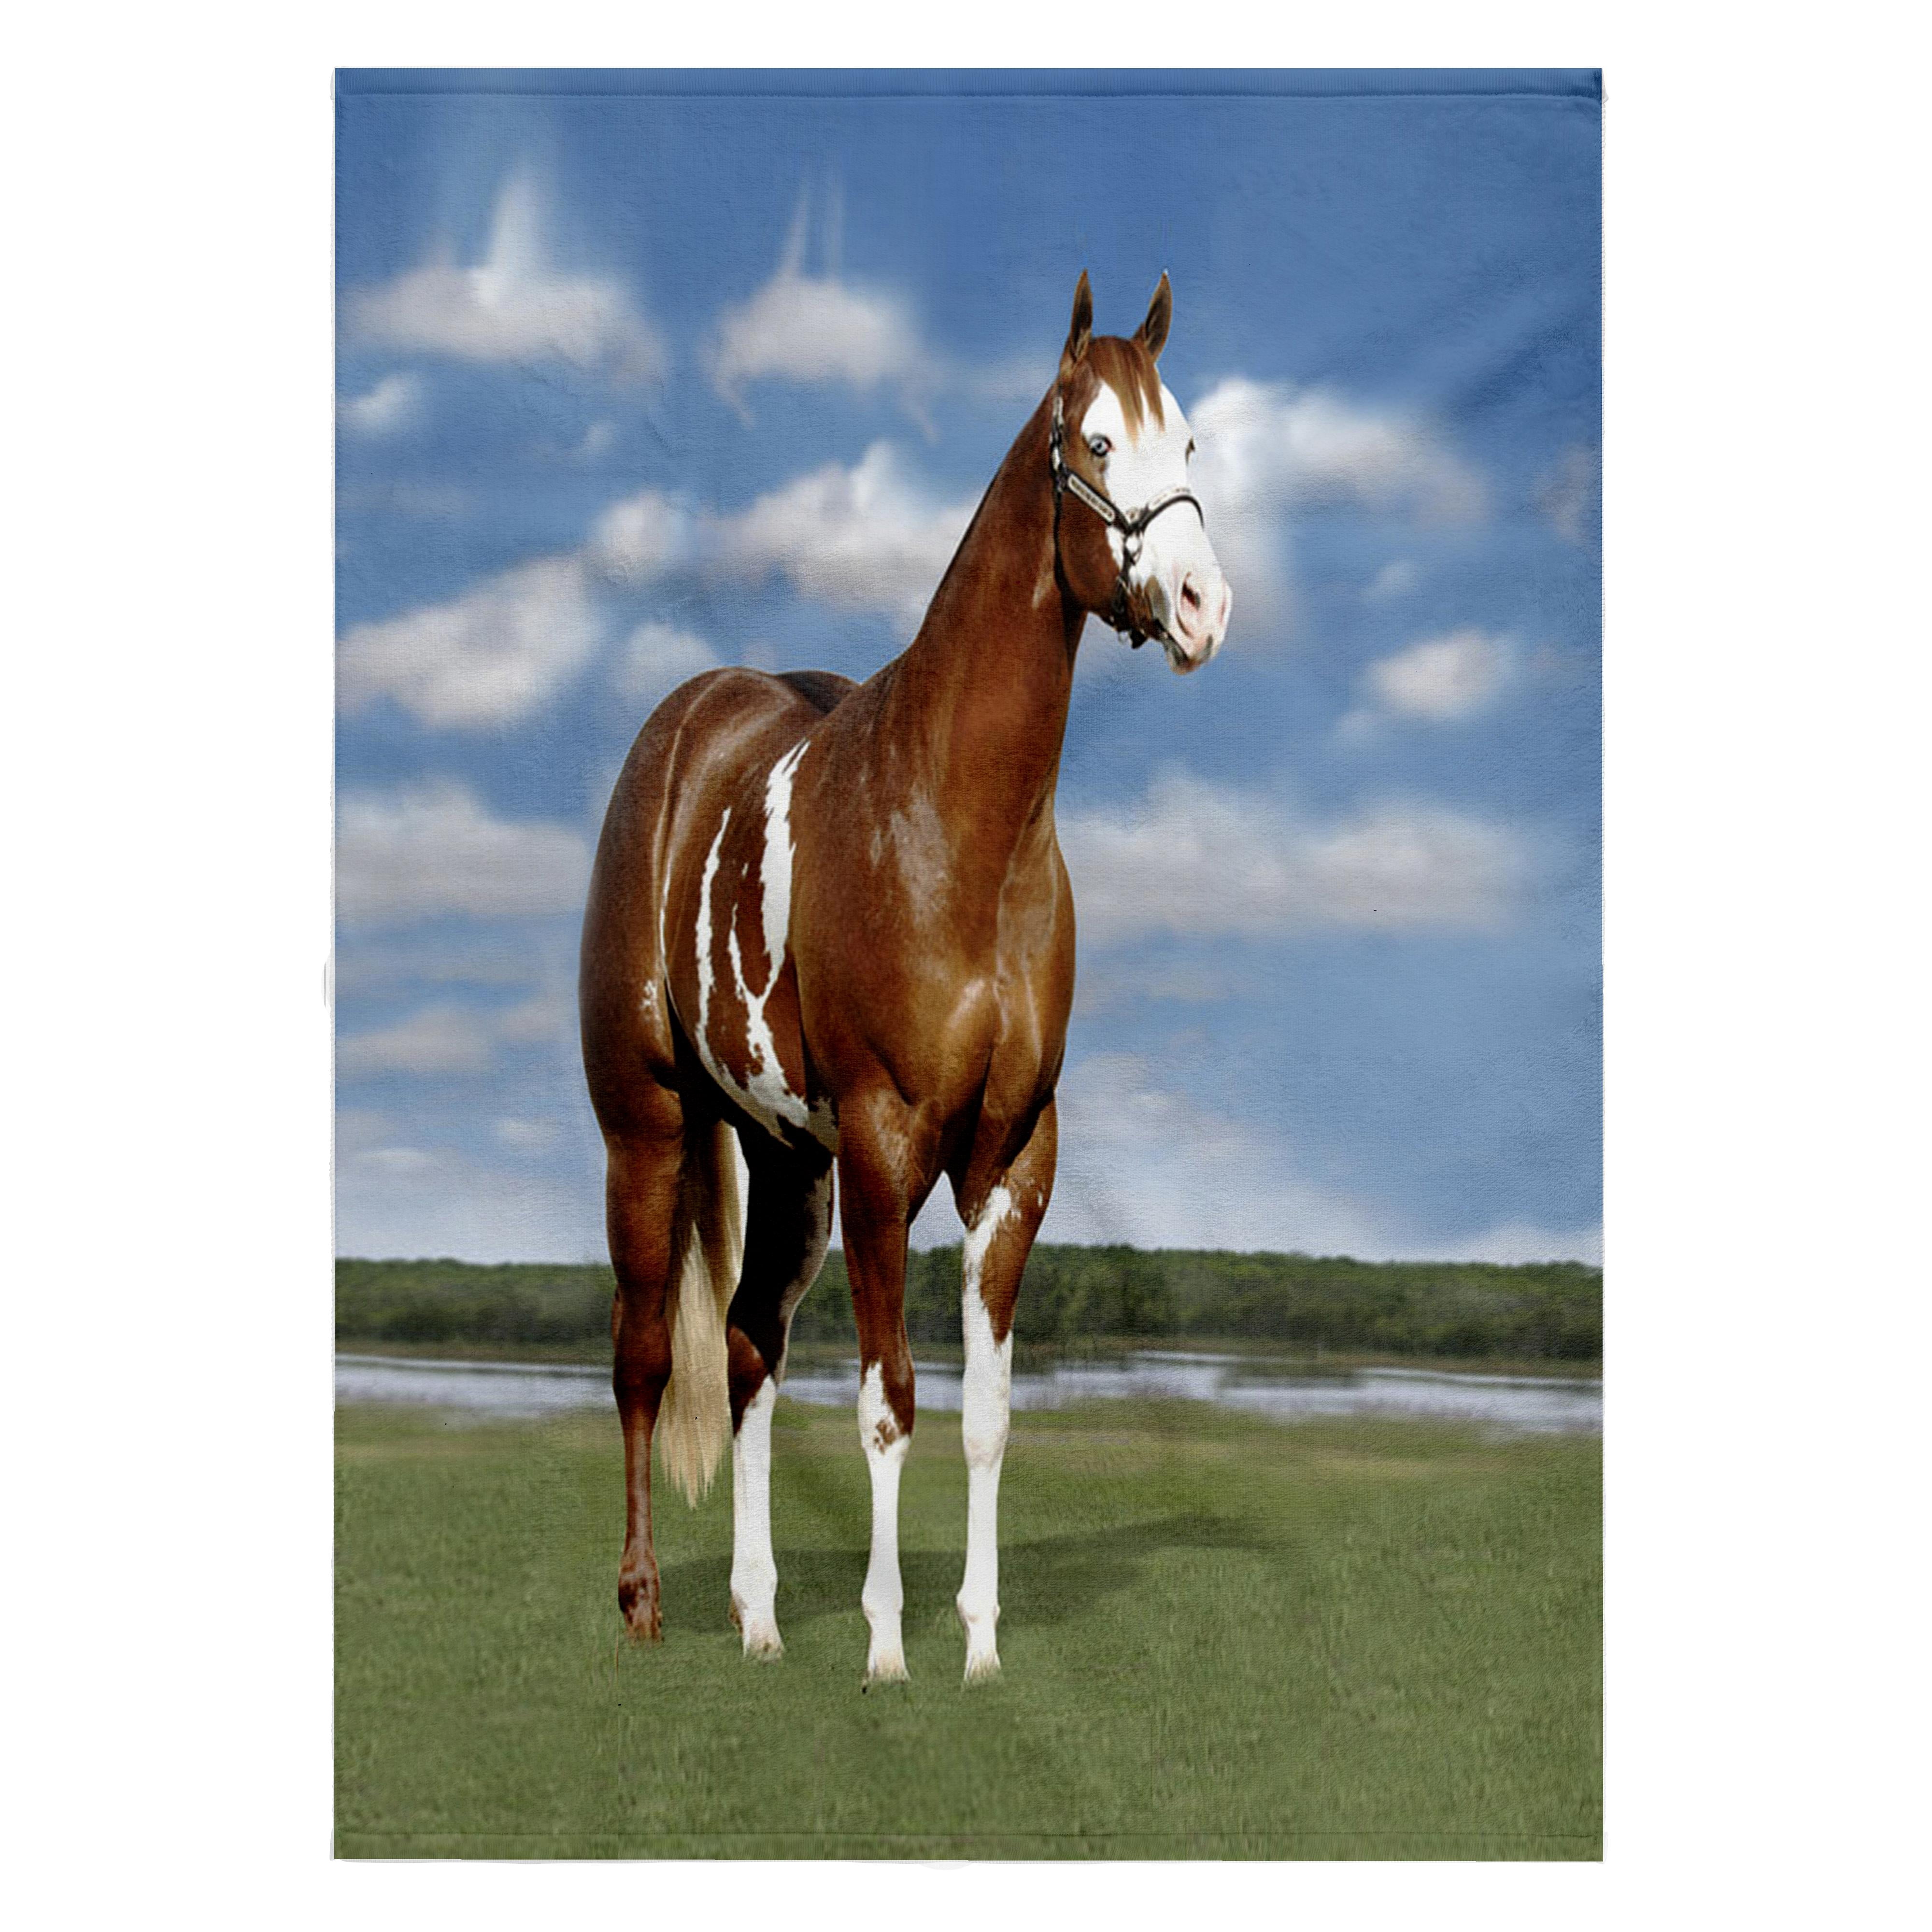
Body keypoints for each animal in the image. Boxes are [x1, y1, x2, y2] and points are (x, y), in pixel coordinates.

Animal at [579, 271, 1232, 1683]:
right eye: (1096, 443)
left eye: (1191, 441)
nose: (1204, 606)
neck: (956, 825)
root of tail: (679, 730)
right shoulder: (888, 1144)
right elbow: (889, 1403)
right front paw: (887, 1647)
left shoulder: (1011, 1158)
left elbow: (984, 1416)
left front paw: (978, 1644)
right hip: (649, 1128)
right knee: (646, 1357)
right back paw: (645, 1600)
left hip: (787, 1163)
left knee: (751, 1348)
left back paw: (759, 1615)